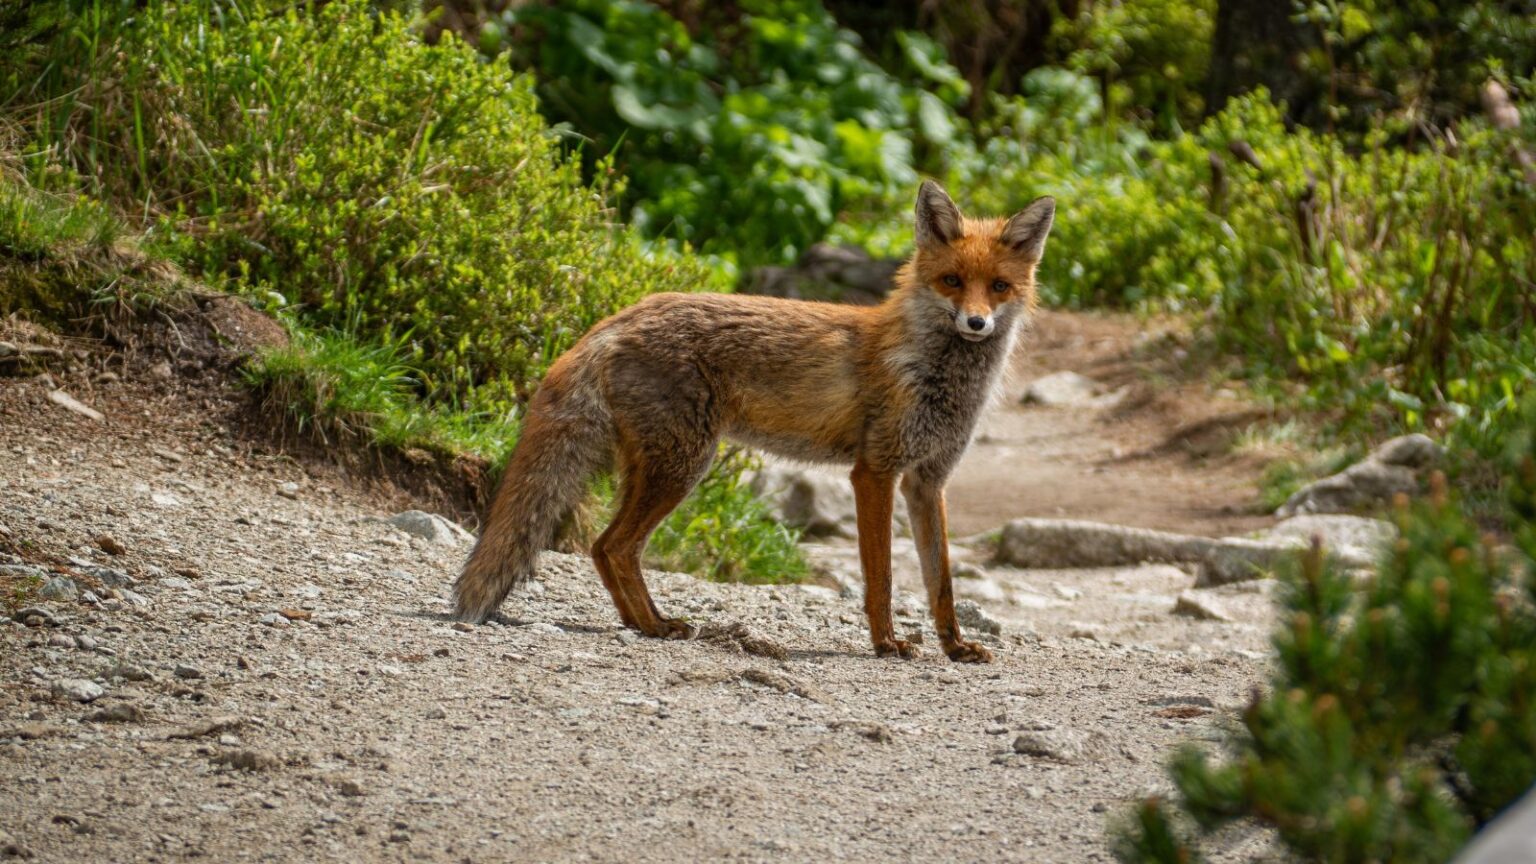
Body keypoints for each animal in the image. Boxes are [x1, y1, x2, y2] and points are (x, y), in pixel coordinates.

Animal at [454, 180, 1054, 662]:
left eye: (998, 287)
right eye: (952, 280)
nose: (976, 323)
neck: (934, 373)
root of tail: (620, 316)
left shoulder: (928, 482)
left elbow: (941, 581)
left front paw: (954, 647)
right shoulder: (875, 471)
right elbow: (881, 576)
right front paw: (886, 643)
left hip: (656, 466)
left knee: (603, 547)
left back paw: (642, 622)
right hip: (684, 466)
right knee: (616, 546)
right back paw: (653, 625)